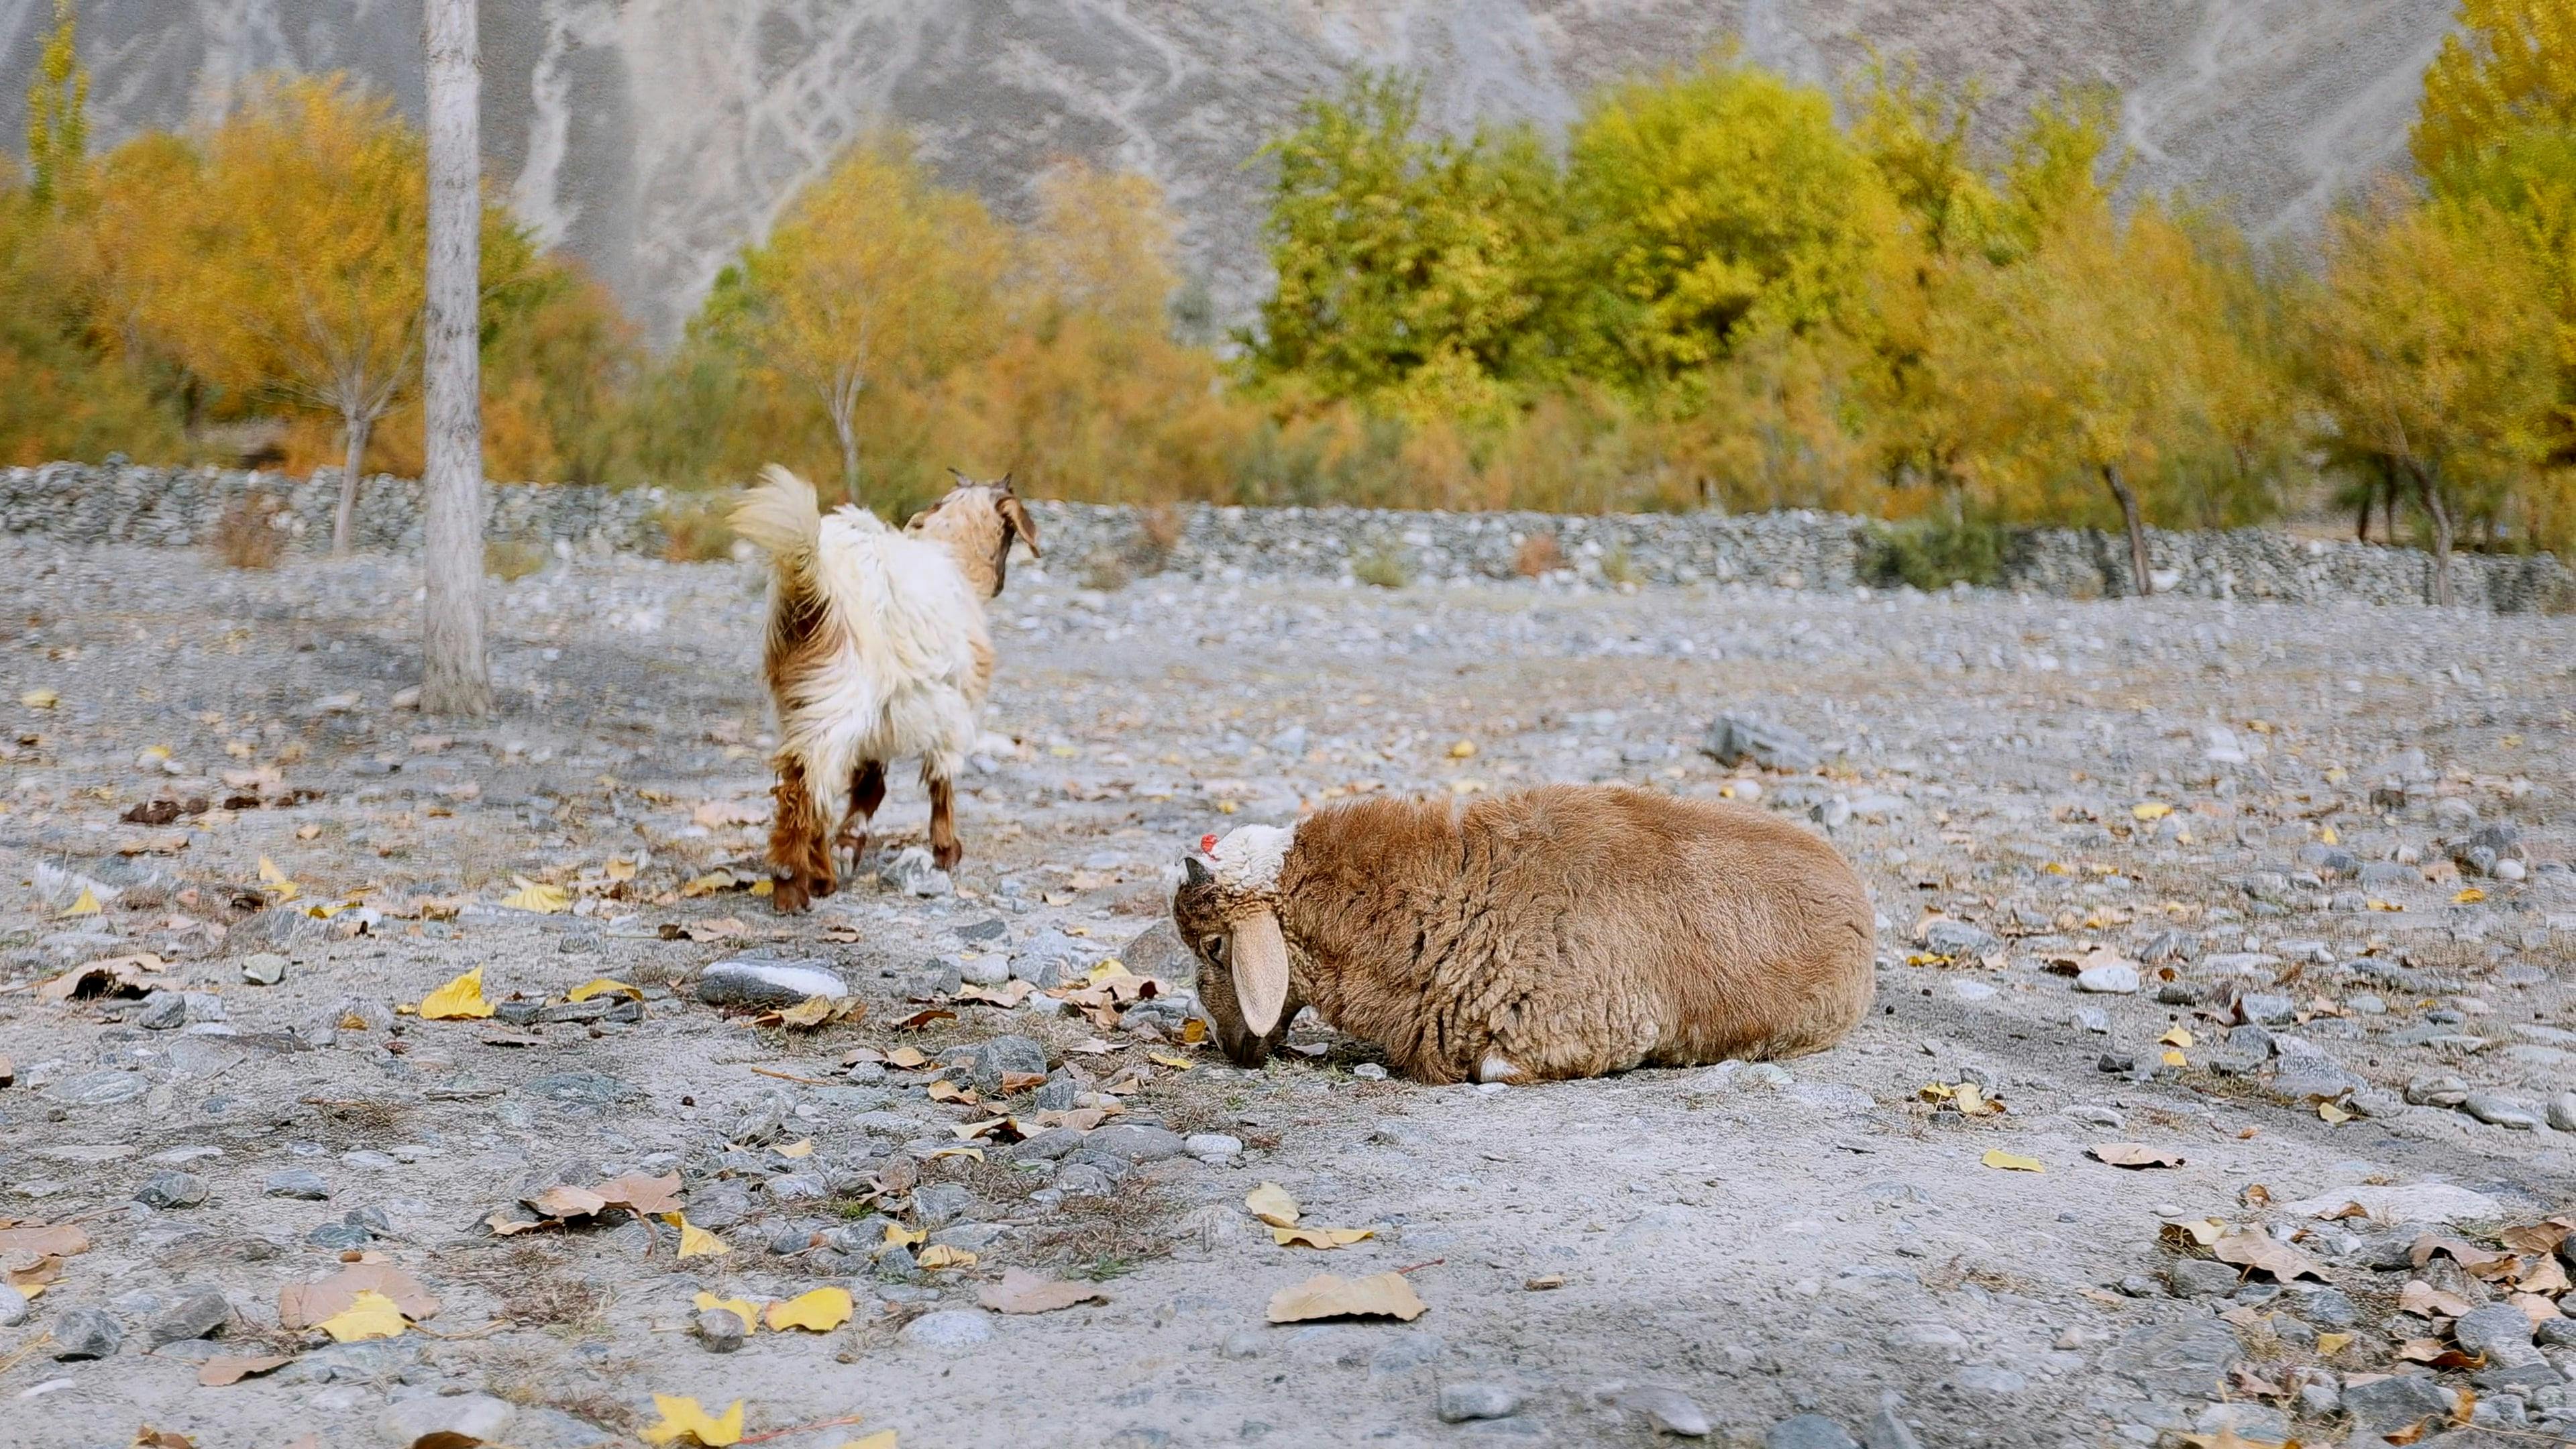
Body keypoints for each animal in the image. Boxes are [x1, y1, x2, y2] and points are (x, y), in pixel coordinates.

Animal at [729, 465, 1038, 911]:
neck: (954, 558)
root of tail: (811, 583)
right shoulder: (949, 705)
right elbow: (940, 779)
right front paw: (946, 850)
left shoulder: (885, 717)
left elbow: (870, 785)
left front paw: (849, 846)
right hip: (841, 699)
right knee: (805, 784)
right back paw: (795, 882)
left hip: (797, 700)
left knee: (804, 780)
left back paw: (817, 874)